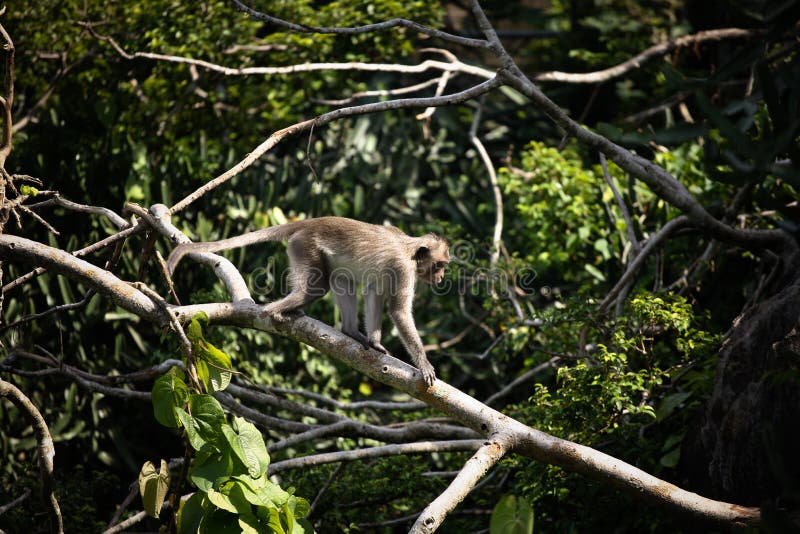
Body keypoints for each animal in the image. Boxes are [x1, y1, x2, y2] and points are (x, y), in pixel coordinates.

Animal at [167, 217, 450, 386]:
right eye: (439, 265)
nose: (441, 277)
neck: (409, 249)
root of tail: (310, 223)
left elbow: (373, 292)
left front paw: (375, 342)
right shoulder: (403, 269)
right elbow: (399, 311)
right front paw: (424, 364)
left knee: (342, 279)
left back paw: (350, 331)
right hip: (305, 247)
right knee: (317, 287)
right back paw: (275, 312)